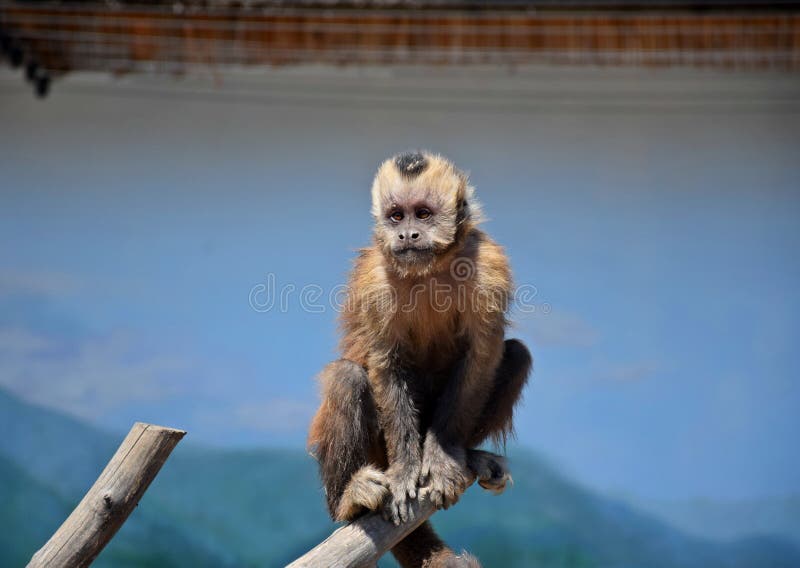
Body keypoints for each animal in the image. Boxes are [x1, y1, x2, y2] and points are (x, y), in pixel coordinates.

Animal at [308, 151, 532, 568]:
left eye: (423, 214)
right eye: (397, 216)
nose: (407, 235)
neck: (430, 267)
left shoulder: (488, 265)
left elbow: (482, 355)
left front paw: (443, 459)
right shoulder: (375, 278)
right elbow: (385, 360)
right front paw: (405, 472)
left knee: (517, 356)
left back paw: (469, 455)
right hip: (376, 451)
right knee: (347, 377)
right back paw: (348, 501)